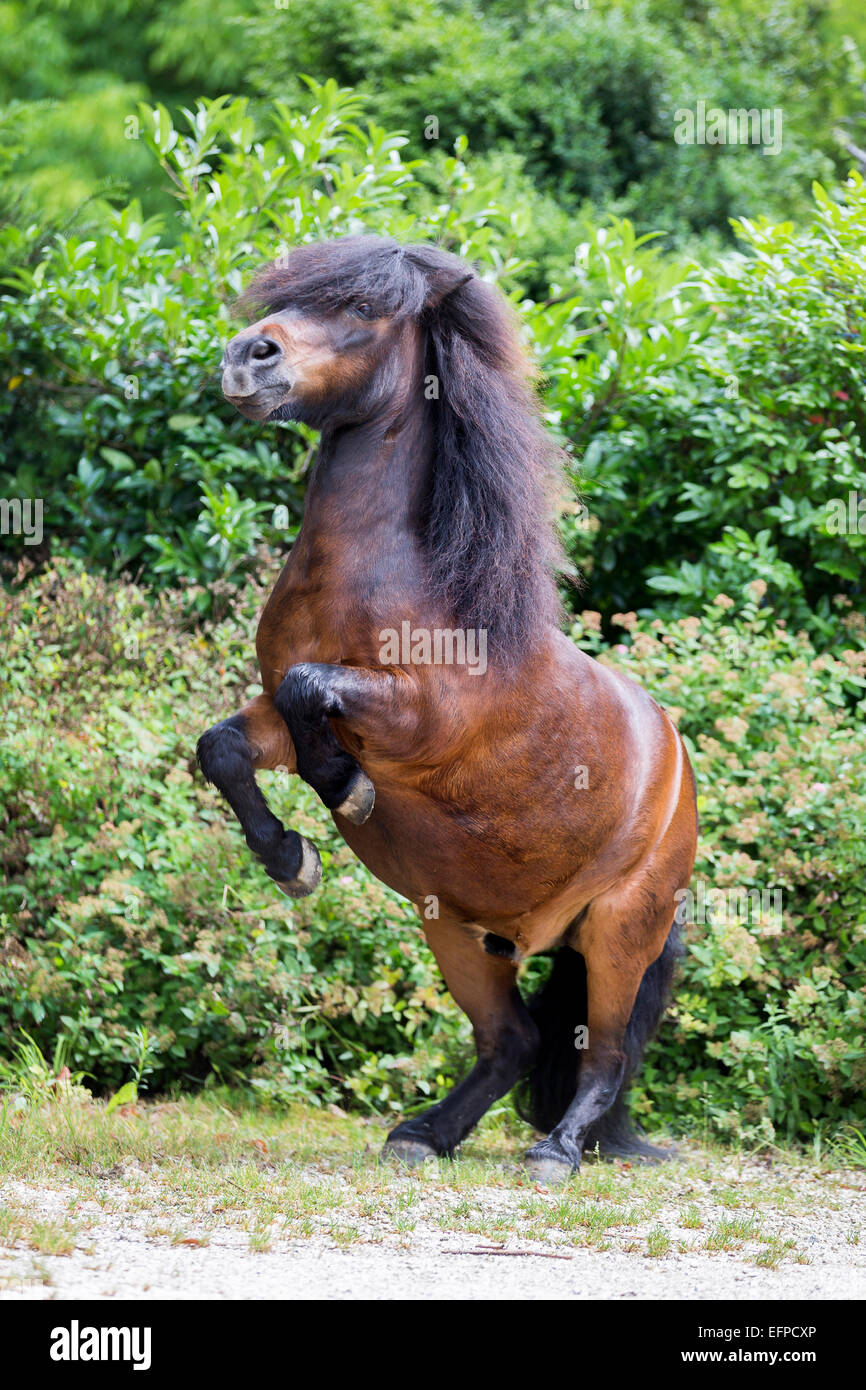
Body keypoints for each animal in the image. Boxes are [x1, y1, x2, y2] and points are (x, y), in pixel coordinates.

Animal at [197, 234, 698, 1181]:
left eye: (362, 308)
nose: (247, 358)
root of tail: (677, 766)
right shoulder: (272, 715)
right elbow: (224, 745)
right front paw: (292, 858)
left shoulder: (413, 723)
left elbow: (310, 688)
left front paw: (344, 792)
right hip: (460, 929)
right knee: (514, 1040)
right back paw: (422, 1135)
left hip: (623, 928)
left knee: (605, 1053)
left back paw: (556, 1153)